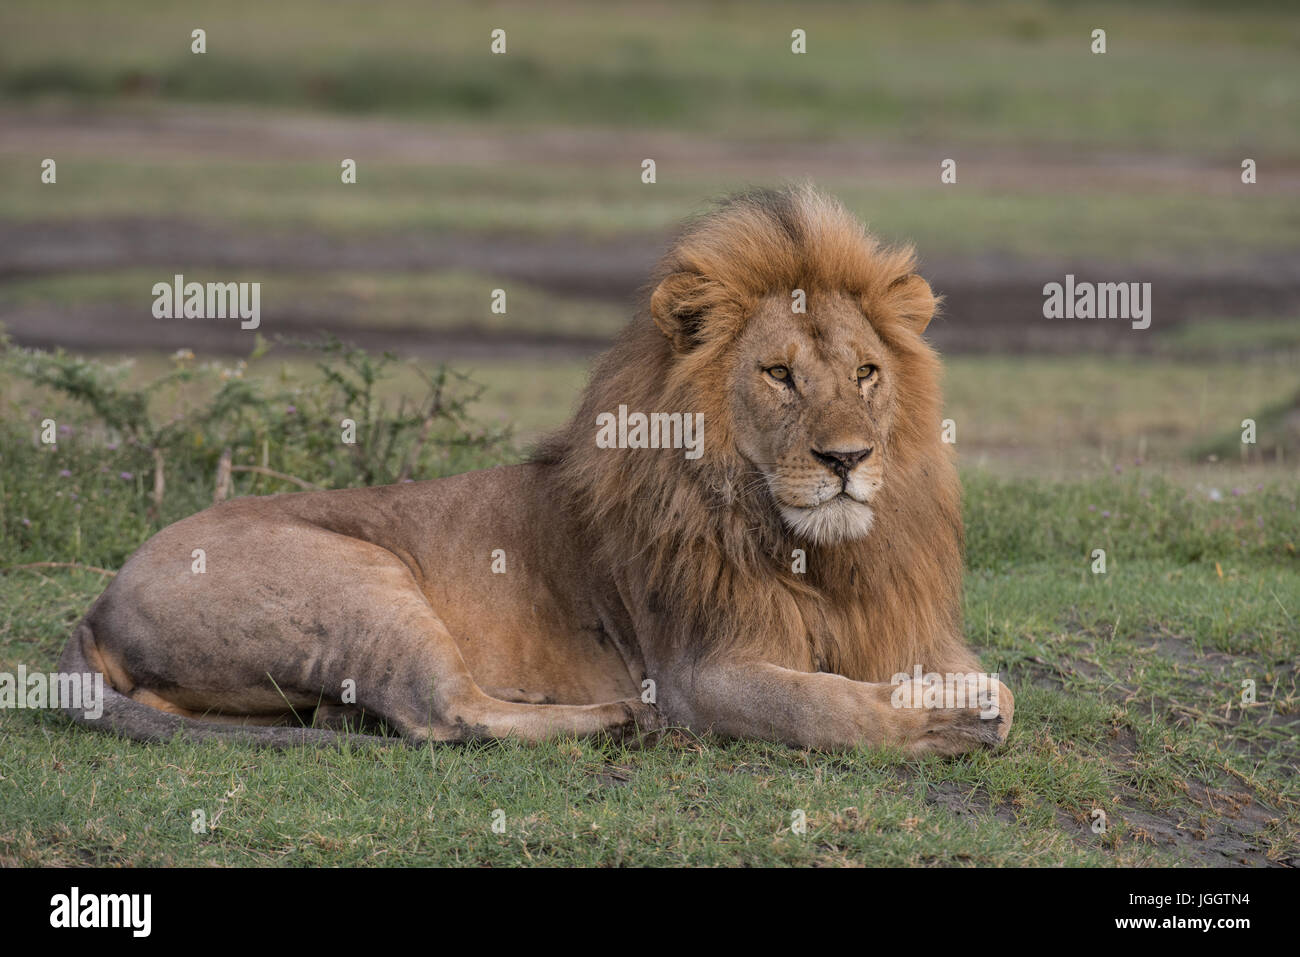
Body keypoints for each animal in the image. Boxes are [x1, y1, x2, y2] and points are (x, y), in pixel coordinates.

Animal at [58, 185, 1012, 756]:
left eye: (866, 373)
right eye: (779, 375)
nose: (847, 458)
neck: (814, 550)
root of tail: (96, 604)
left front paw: (971, 694)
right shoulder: (700, 672)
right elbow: (827, 707)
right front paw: (951, 718)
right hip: (361, 579)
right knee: (439, 712)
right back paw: (614, 716)